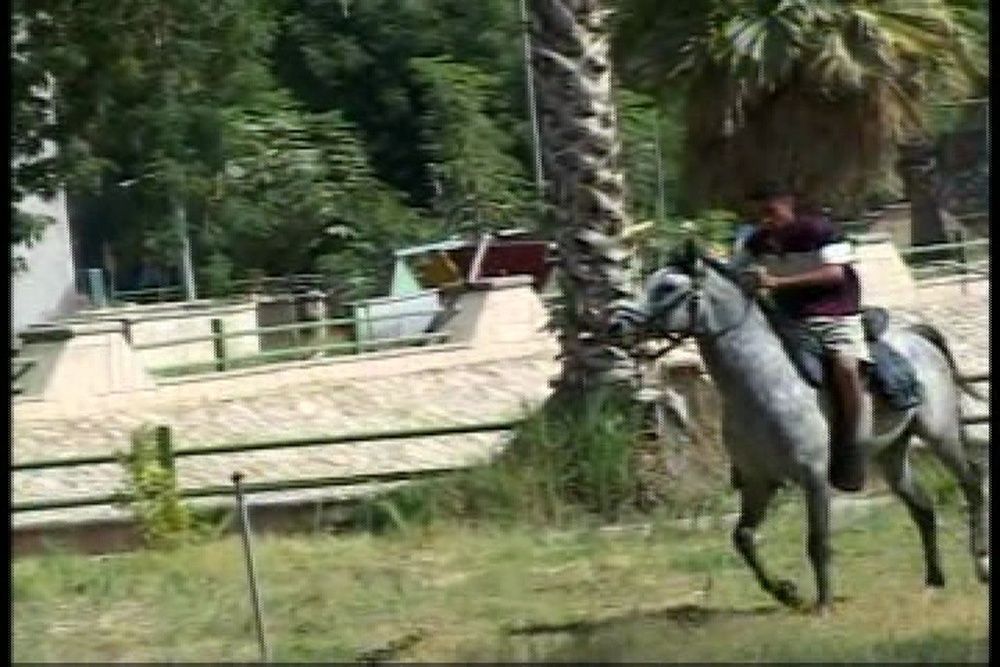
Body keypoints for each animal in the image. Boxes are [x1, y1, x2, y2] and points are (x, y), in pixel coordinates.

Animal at [608, 241, 989, 614]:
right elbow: (742, 537)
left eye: (668, 287)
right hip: (892, 452)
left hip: (940, 435)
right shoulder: (758, 481)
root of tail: (918, 336)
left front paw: (823, 605)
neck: (762, 386)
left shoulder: (813, 477)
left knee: (971, 483)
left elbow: (817, 541)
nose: (616, 325)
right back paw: (934, 581)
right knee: (923, 508)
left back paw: (980, 564)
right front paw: (787, 593)